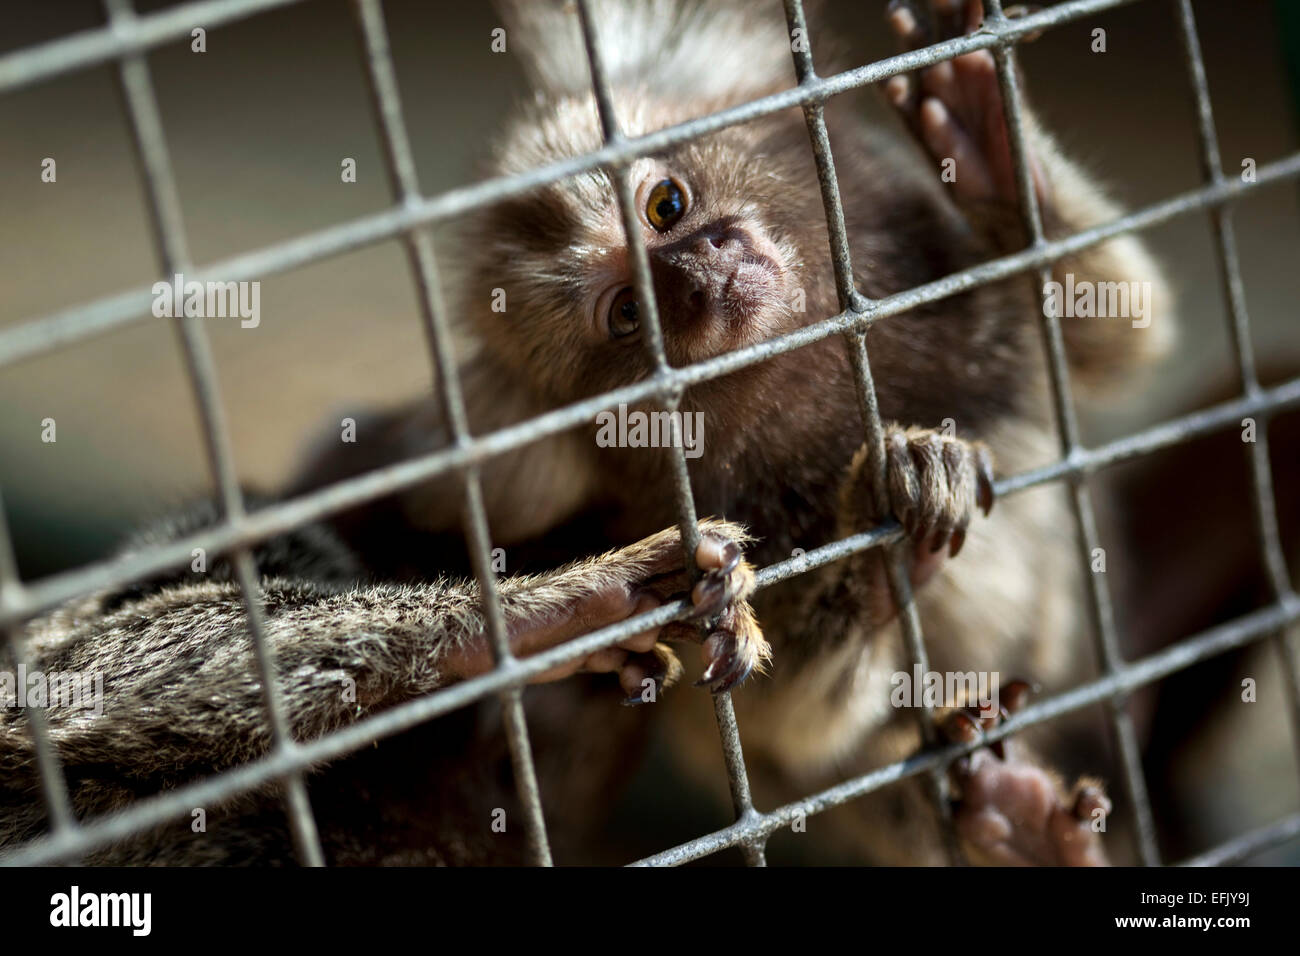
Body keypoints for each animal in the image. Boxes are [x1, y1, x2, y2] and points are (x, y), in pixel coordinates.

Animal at [1, 0, 1173, 866]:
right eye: (623, 317)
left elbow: (1111, 328)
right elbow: (793, 722)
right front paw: (881, 542)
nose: (700, 270)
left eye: (665, 204)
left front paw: (993, 150)